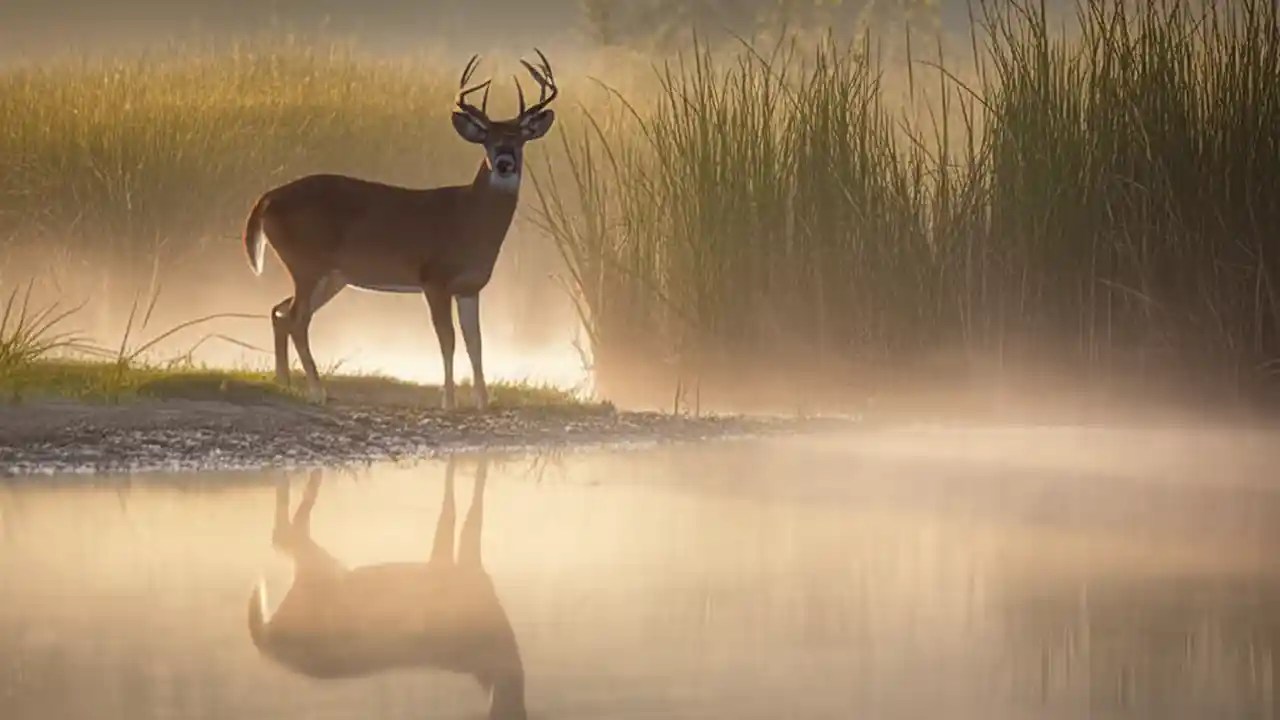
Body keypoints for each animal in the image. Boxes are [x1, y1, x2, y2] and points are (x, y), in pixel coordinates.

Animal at [241, 51, 559, 409]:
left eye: (519, 140)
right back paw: (317, 391)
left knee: (280, 312)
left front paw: (482, 401)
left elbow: (475, 342)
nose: (504, 163)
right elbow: (447, 340)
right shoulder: (433, 279)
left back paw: (285, 382)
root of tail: (266, 198)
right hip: (306, 263)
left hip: (331, 275)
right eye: (488, 141)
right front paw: (448, 401)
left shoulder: (470, 286)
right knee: (296, 319)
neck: (470, 221)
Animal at [248, 458, 526, 719]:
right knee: (285, 534)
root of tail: (269, 644)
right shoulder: (456, 569)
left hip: (319, 576)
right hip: (323, 574)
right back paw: (305, 477)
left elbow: (458, 504)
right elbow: (461, 506)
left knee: (284, 534)